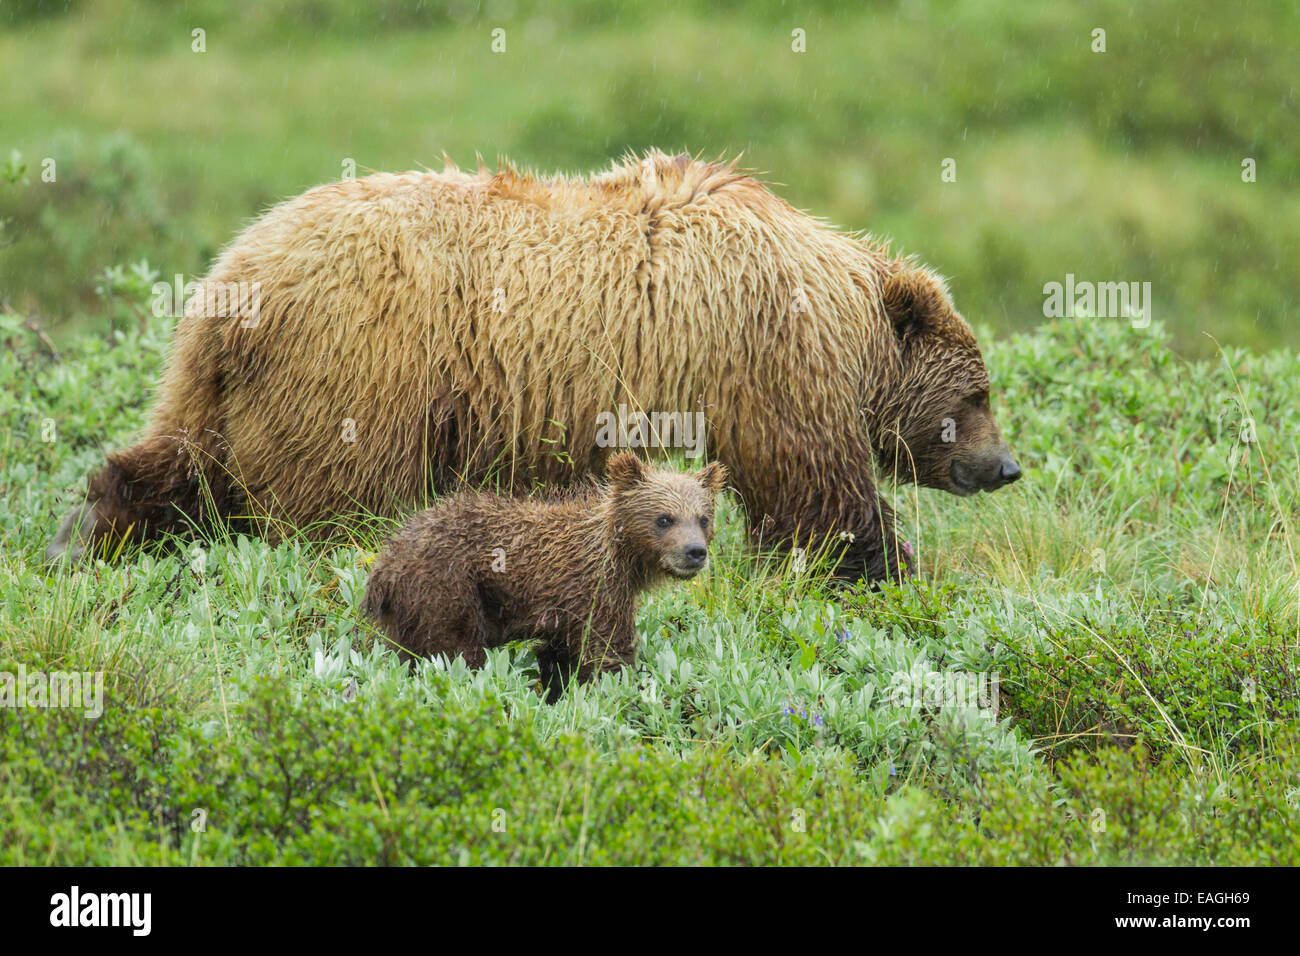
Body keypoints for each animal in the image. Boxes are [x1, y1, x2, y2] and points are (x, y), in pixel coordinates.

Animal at [47, 149, 1019, 582]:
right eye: (976, 394)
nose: (1007, 466)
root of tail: (231, 285)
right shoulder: (766, 358)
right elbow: (816, 487)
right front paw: (892, 566)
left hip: (225, 386)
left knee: (179, 459)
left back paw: (91, 531)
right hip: (359, 365)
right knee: (332, 497)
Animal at [363, 453, 726, 702]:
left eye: (703, 518)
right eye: (664, 519)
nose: (695, 551)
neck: (620, 554)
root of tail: (385, 564)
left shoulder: (568, 607)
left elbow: (559, 657)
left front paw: (558, 691)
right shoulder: (596, 588)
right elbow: (608, 650)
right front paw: (620, 692)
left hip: (408, 612)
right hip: (447, 588)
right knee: (456, 651)